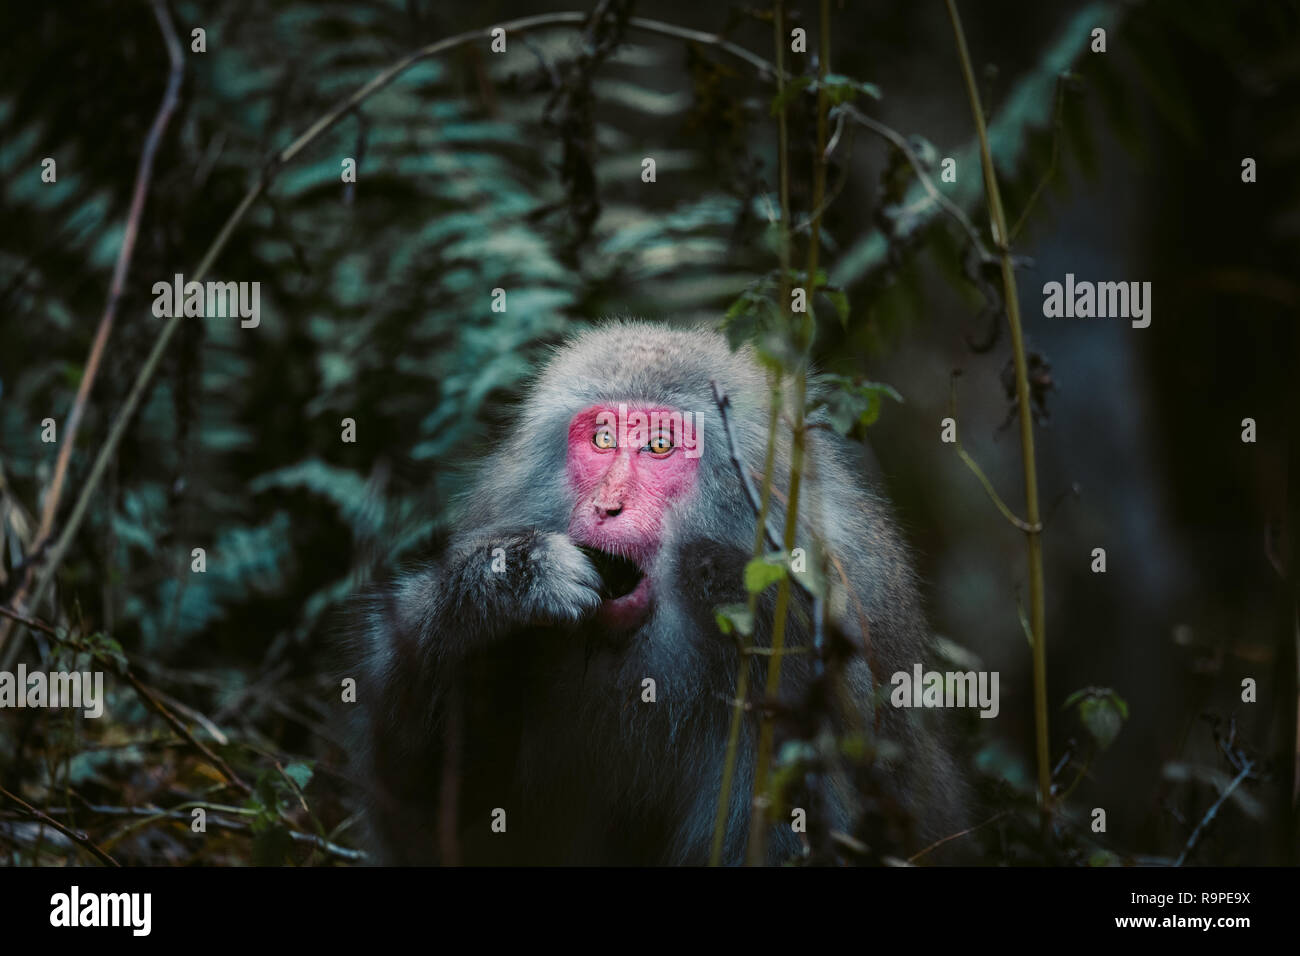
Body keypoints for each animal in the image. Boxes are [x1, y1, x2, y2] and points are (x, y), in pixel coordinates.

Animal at [347, 319, 968, 865]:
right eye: (602, 437)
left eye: (661, 446)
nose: (608, 505)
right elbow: (428, 817)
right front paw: (508, 581)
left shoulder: (827, 619)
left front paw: (715, 572)